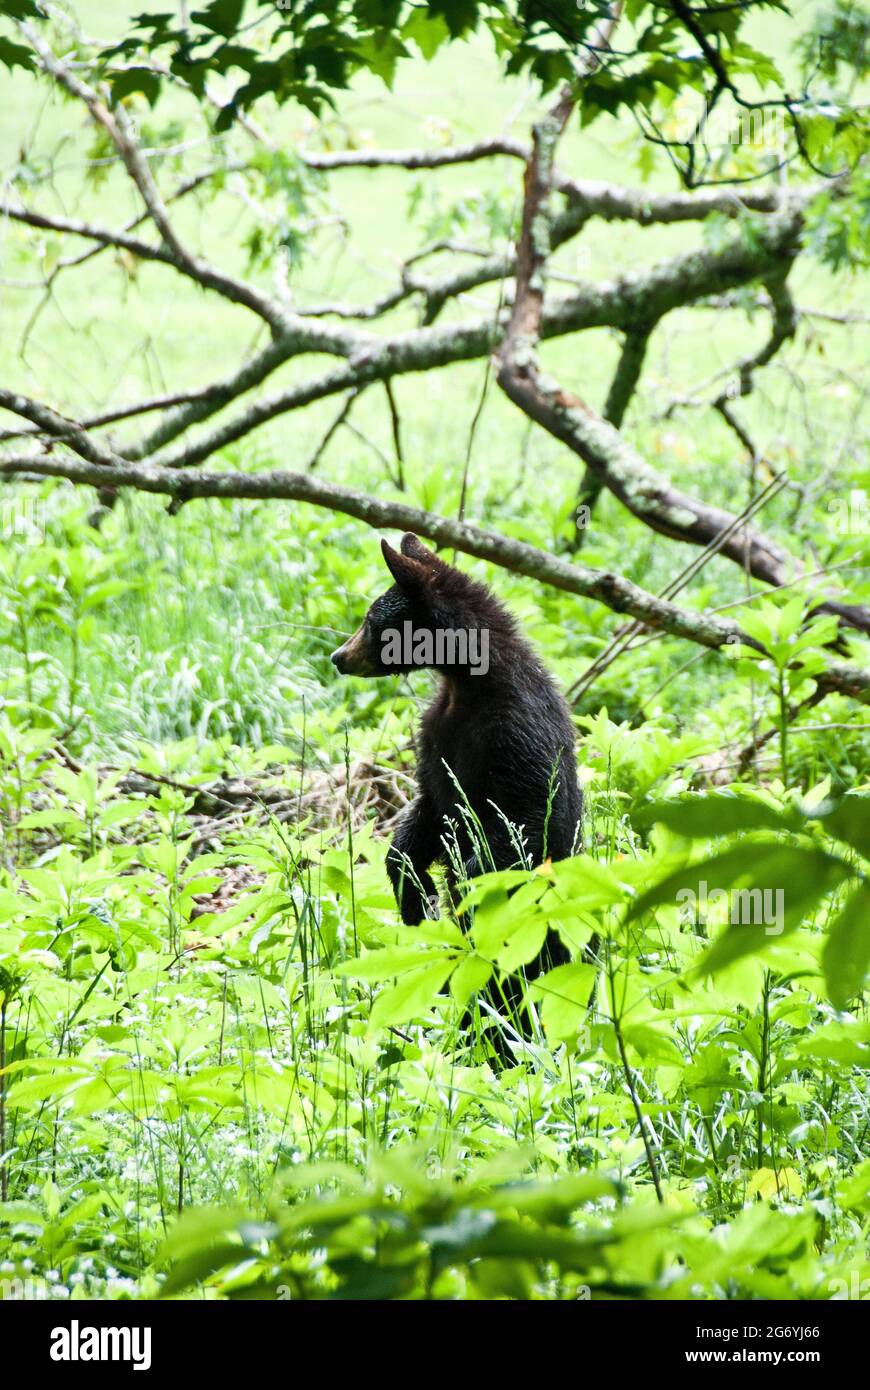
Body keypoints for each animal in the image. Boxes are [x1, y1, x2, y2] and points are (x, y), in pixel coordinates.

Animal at [331, 533, 583, 991]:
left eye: (371, 621)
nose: (338, 656)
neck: (466, 683)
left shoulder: (518, 731)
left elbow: (526, 818)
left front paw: (465, 886)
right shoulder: (435, 735)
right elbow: (430, 808)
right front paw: (414, 893)